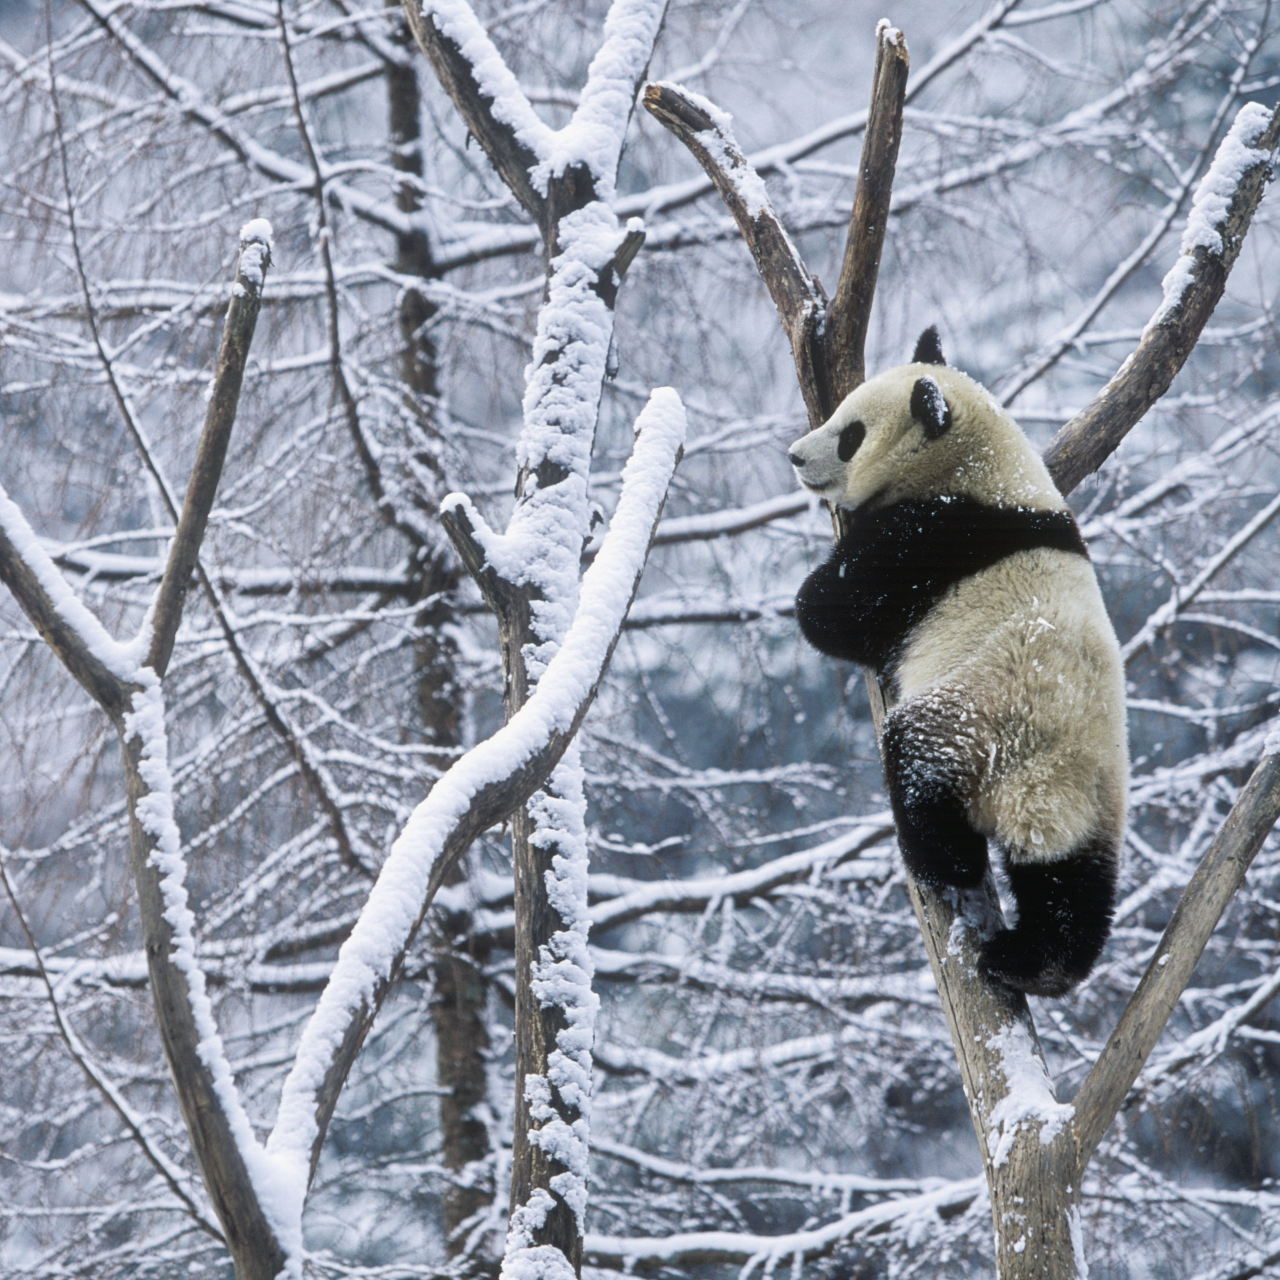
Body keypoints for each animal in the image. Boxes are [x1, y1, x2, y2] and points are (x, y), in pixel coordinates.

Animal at [789, 328, 1128, 997]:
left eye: (850, 434)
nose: (796, 456)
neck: (985, 464)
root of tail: (1037, 786)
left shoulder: (937, 534)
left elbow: (833, 611)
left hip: (972, 718)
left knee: (918, 772)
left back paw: (945, 867)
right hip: (1099, 799)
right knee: (1072, 889)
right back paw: (1039, 964)